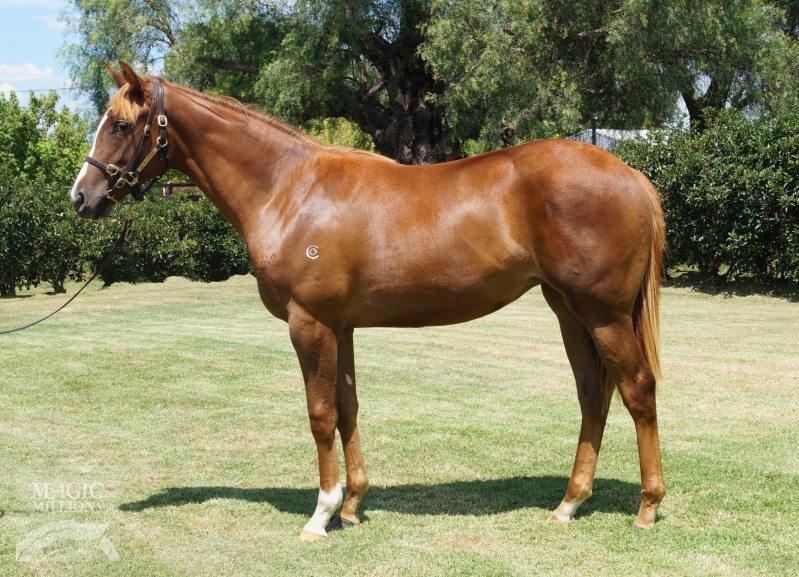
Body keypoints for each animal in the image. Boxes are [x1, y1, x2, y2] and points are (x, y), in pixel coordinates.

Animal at [71, 61, 666, 539]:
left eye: (120, 125)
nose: (82, 197)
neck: (290, 190)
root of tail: (633, 176)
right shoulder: (341, 327)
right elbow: (347, 407)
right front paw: (352, 506)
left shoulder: (309, 324)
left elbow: (319, 414)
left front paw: (321, 515)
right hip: (568, 310)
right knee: (593, 395)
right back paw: (569, 504)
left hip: (604, 314)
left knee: (637, 390)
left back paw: (647, 509)